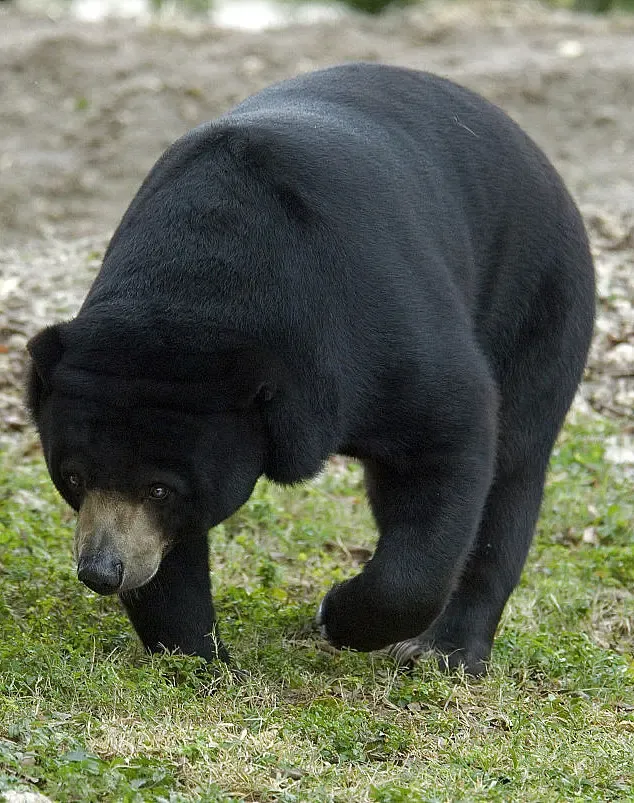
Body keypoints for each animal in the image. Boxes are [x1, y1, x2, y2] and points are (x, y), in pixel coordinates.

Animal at [26, 63, 595, 675]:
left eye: (160, 489)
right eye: (73, 477)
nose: (101, 571)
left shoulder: (379, 326)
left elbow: (451, 434)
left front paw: (339, 613)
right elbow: (173, 552)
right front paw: (199, 658)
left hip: (540, 302)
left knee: (513, 470)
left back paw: (444, 651)